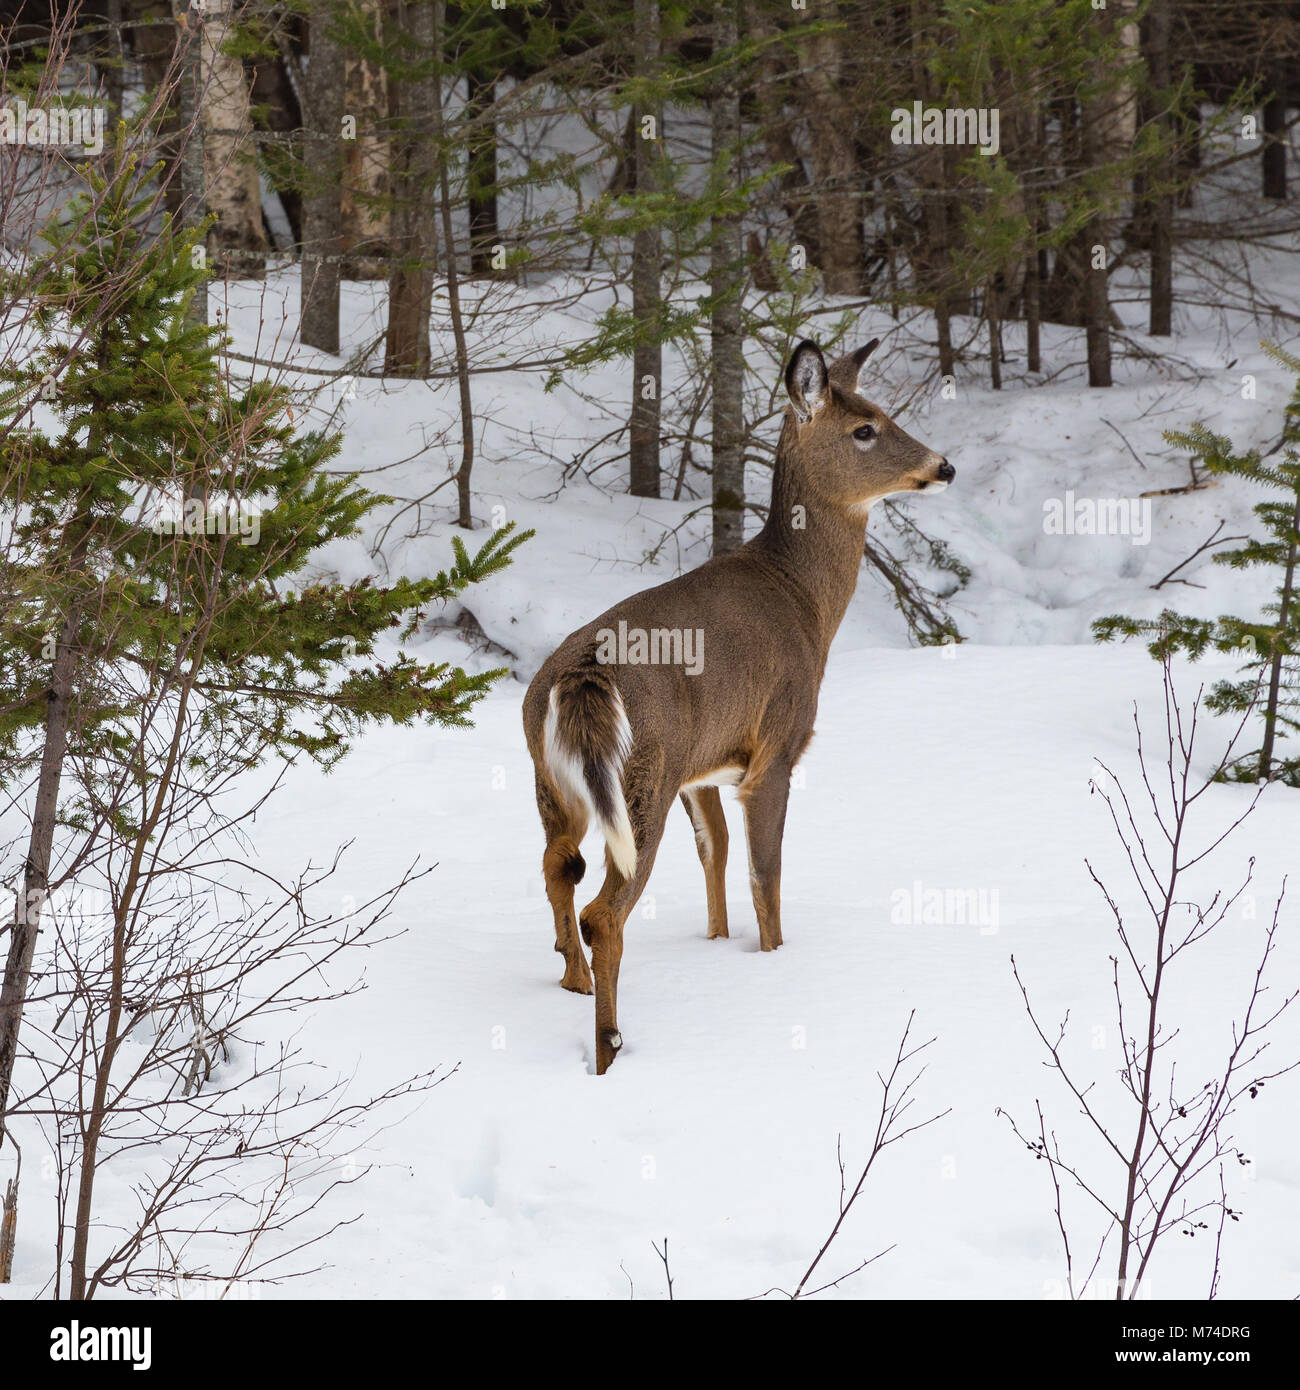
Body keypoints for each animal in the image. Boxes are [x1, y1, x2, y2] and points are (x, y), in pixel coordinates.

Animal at [522, 338, 954, 1074]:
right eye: (865, 428)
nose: (944, 465)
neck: (804, 598)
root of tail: (578, 675)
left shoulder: (705, 763)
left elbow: (716, 852)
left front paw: (718, 944)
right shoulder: (776, 746)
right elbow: (765, 874)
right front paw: (773, 962)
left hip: (555, 780)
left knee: (558, 867)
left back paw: (572, 981)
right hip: (643, 775)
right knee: (604, 911)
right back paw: (609, 1047)